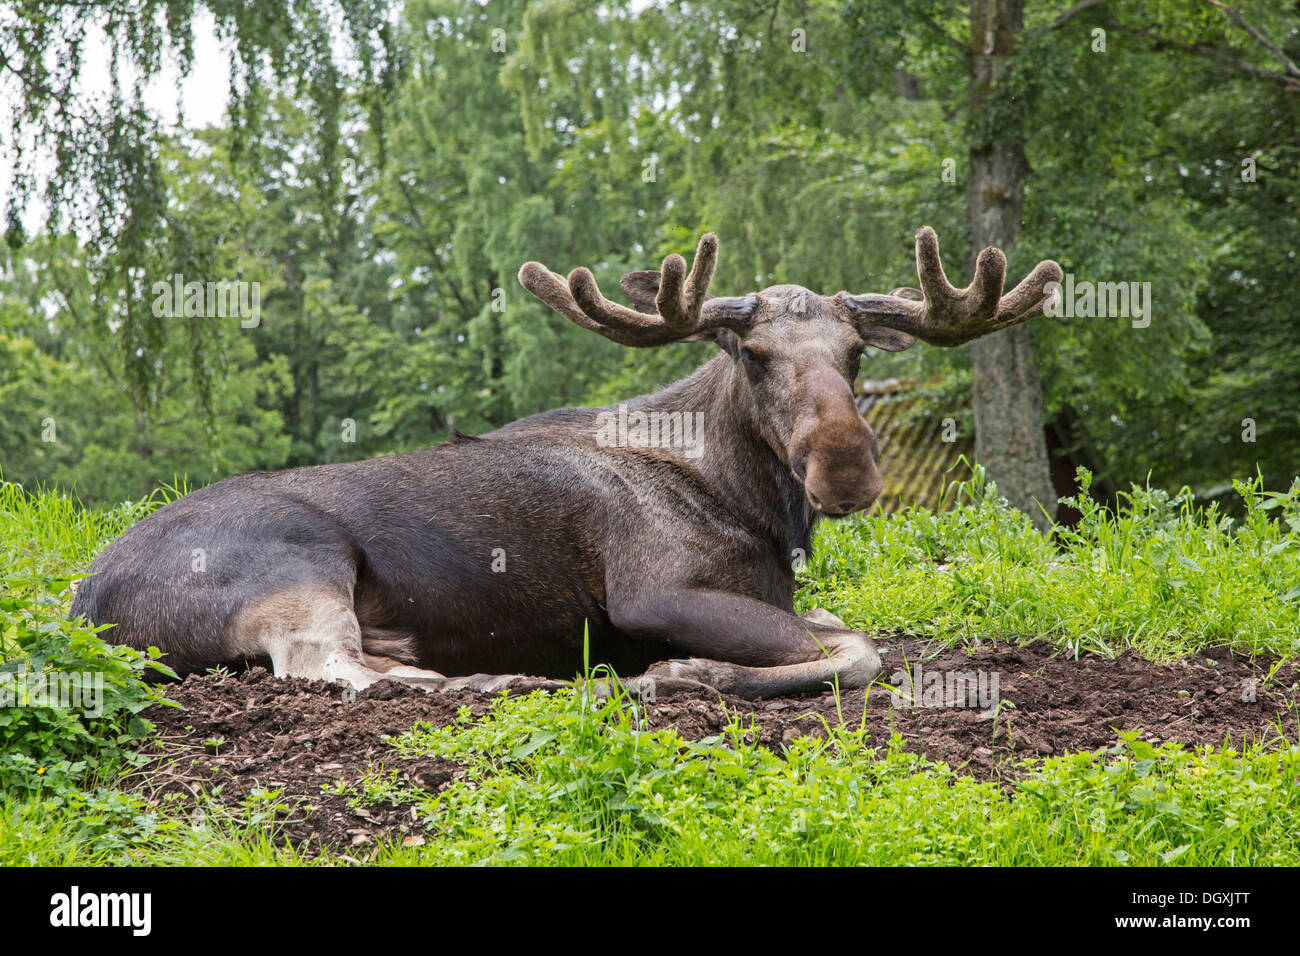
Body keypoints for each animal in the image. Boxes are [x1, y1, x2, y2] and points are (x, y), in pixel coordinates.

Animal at [71, 228, 1061, 699]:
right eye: (752, 355)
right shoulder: (652, 592)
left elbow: (847, 632)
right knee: (321, 664)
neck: (752, 509)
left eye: (856, 354)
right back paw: (496, 678)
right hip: (299, 562)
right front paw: (682, 673)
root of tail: (87, 609)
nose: (846, 471)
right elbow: (857, 652)